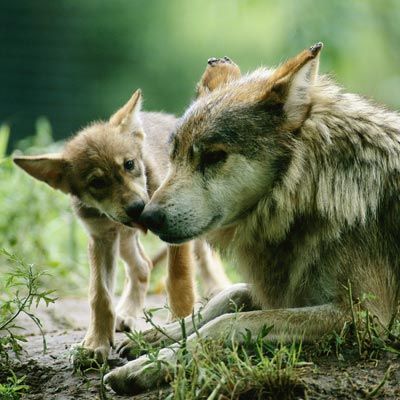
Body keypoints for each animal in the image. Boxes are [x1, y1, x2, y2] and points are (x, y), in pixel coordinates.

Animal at [13, 91, 228, 362]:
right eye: (97, 182)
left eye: (129, 164)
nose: (138, 208)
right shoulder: (101, 238)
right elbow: (100, 295)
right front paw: (95, 343)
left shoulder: (174, 231)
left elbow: (178, 277)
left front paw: (178, 322)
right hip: (124, 239)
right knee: (143, 266)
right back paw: (126, 313)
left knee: (206, 260)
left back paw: (220, 290)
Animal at [105, 43, 400, 394]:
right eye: (174, 155)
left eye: (214, 156)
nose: (147, 216)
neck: (315, 190)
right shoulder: (282, 289)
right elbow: (224, 299)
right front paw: (151, 339)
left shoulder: (365, 317)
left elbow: (226, 323)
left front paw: (150, 365)